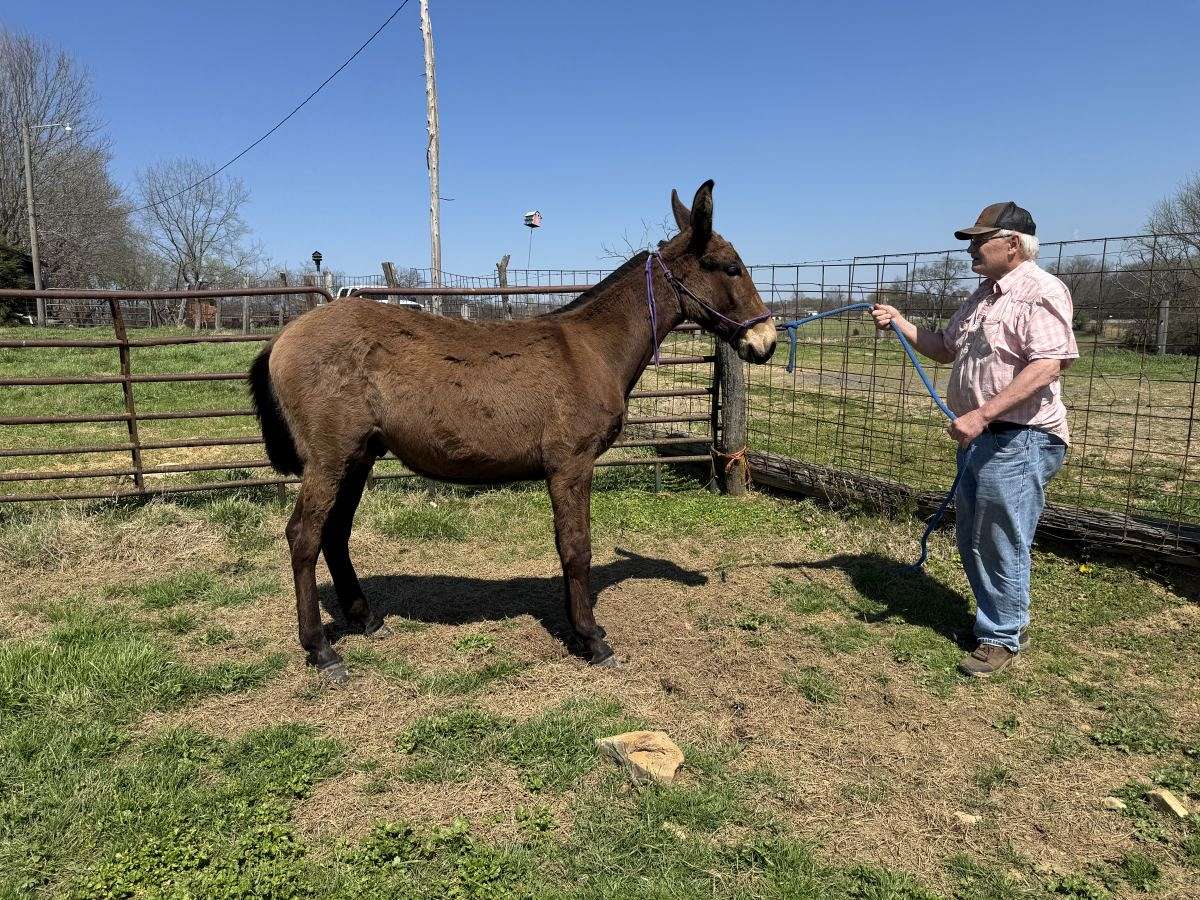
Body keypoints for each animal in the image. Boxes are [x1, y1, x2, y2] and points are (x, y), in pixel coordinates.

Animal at [249, 180, 777, 681]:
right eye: (729, 267)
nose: (766, 341)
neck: (590, 349)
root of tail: (285, 335)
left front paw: (581, 627)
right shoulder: (570, 465)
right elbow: (576, 548)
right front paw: (591, 639)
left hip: (357, 456)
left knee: (335, 533)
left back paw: (364, 619)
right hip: (329, 457)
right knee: (303, 536)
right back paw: (321, 649)